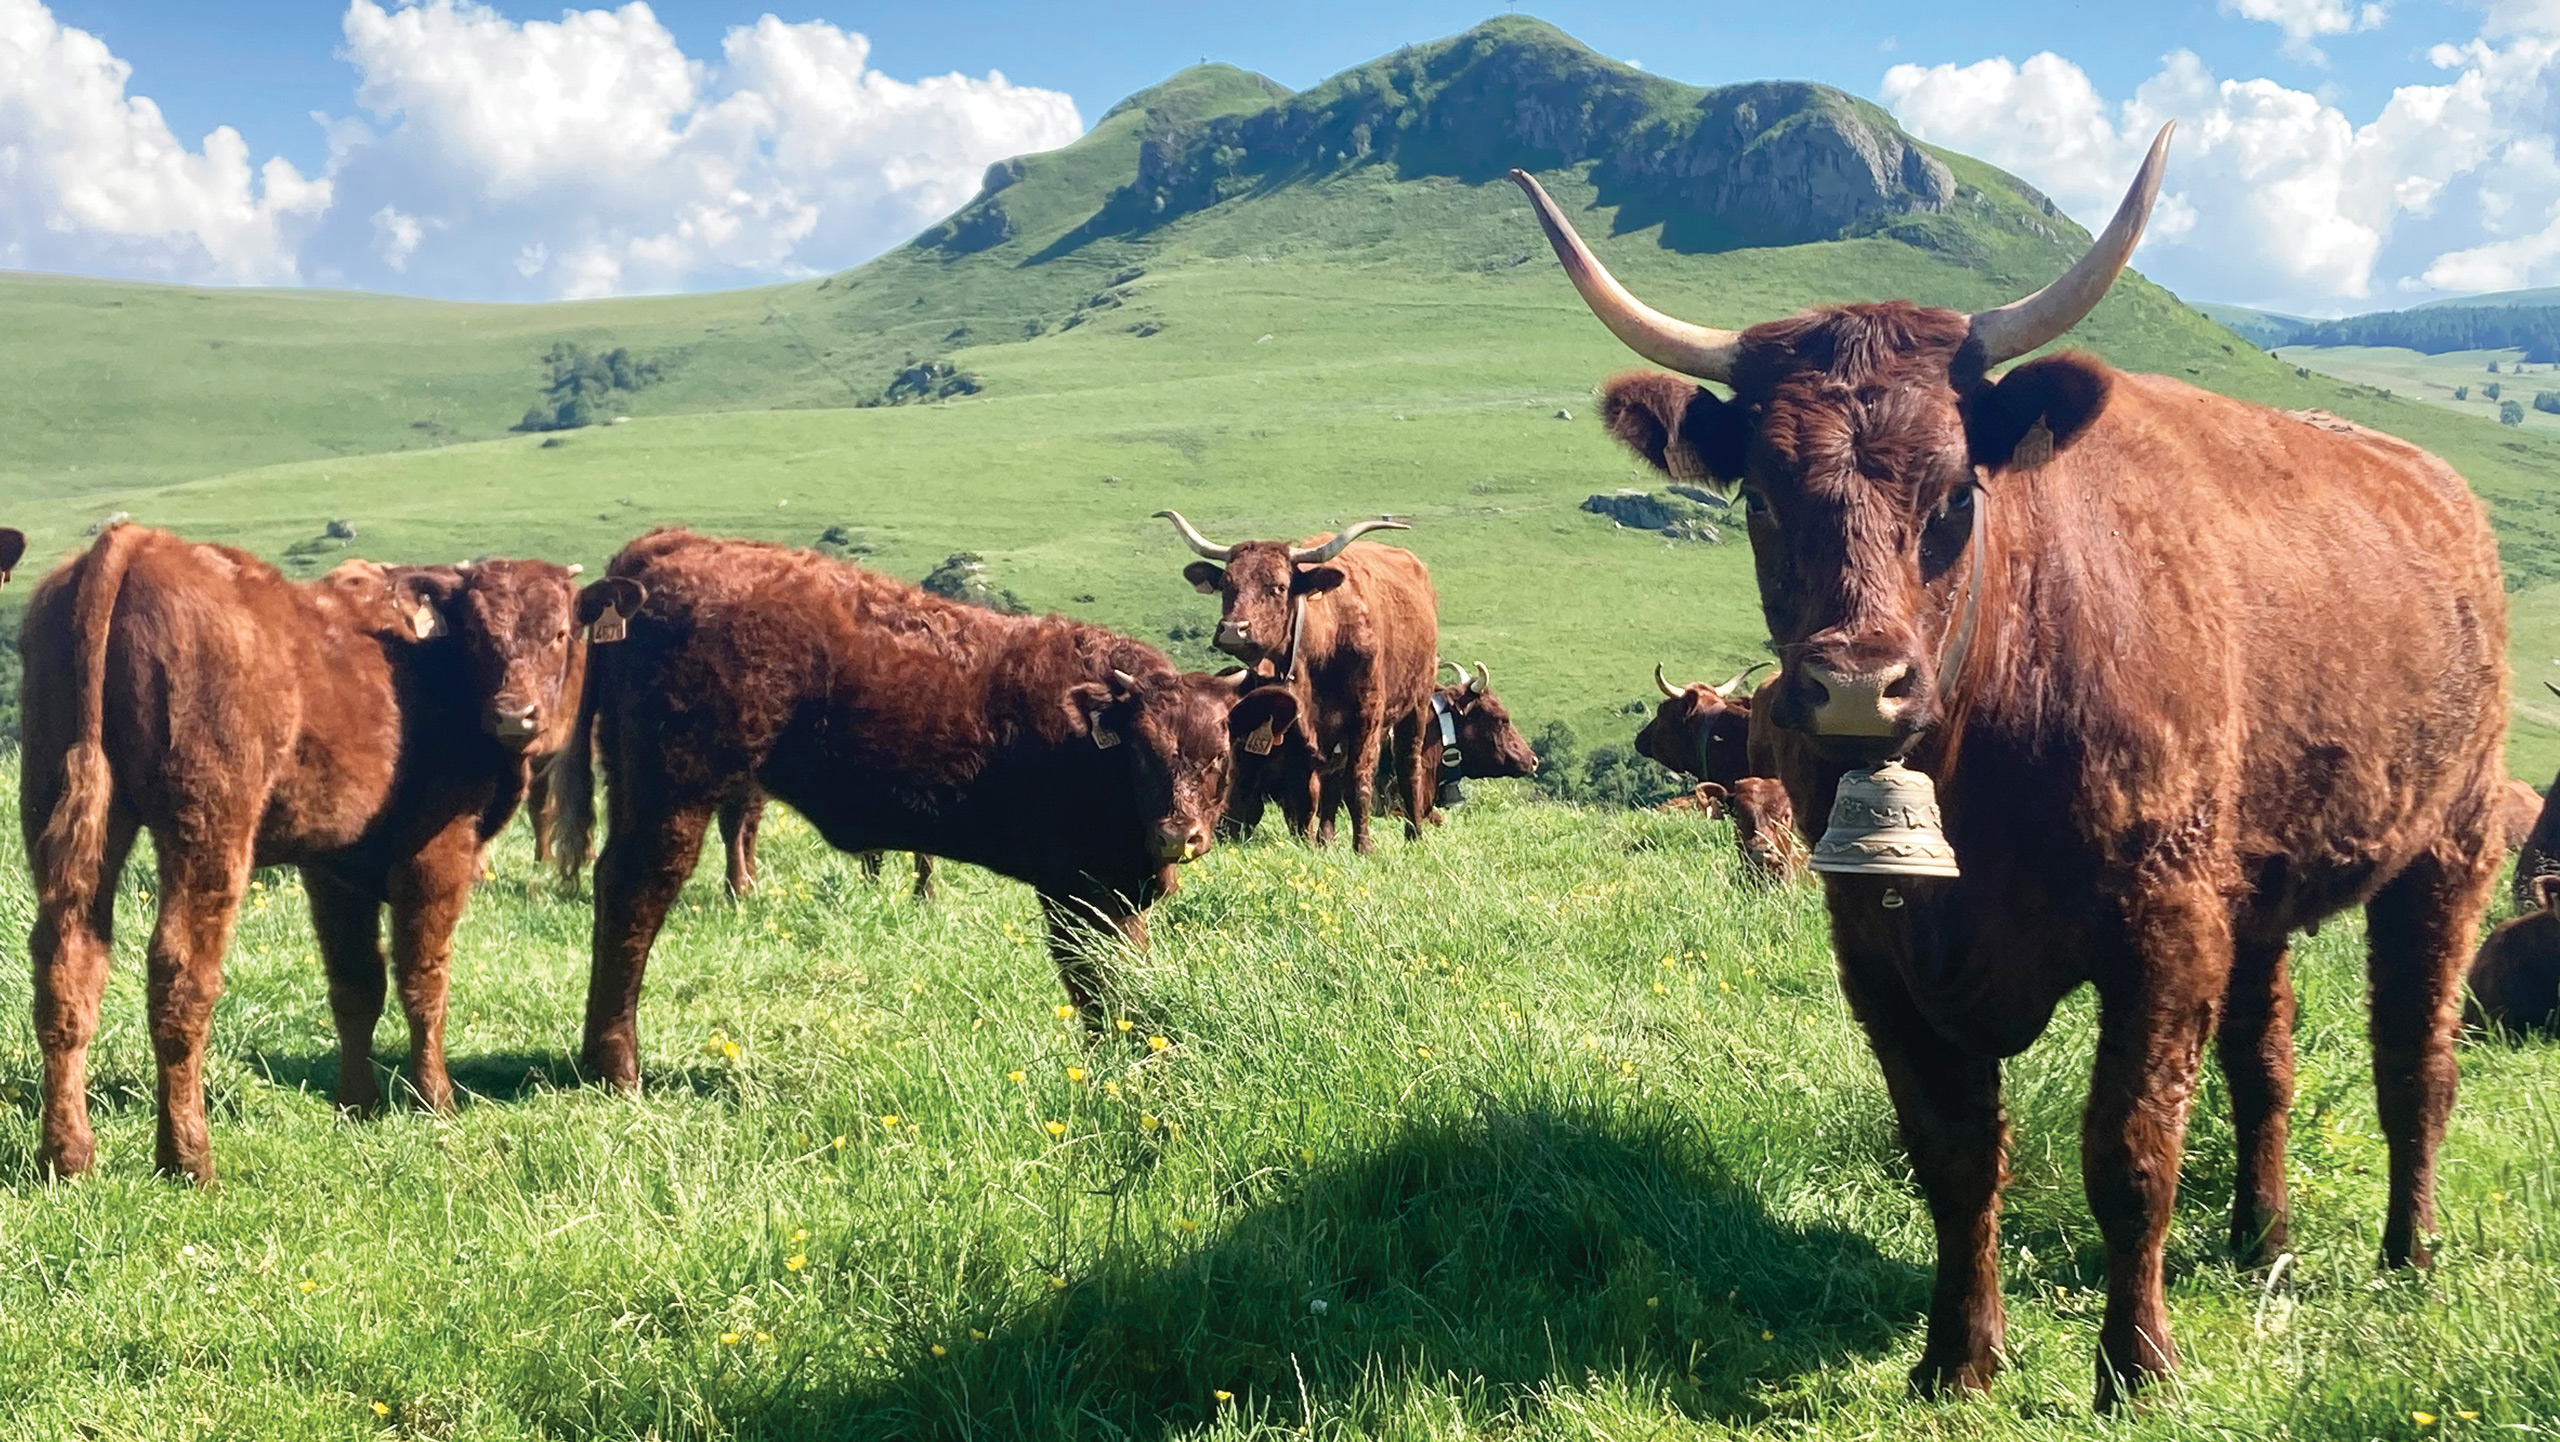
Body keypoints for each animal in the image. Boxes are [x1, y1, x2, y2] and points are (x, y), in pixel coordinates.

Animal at [19, 523, 583, 1182]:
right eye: (478, 633)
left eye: (559, 633)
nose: (515, 714)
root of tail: (137, 539)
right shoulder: (437, 852)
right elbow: (424, 979)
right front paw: (435, 1100)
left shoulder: (334, 867)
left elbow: (356, 983)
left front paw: (358, 1105)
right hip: (208, 825)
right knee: (180, 973)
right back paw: (189, 1158)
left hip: (68, 807)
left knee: (68, 963)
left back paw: (68, 1157)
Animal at [549, 530, 1297, 1092]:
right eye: (1143, 754)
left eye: (1218, 755)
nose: (1178, 835)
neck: (1087, 731)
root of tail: (666, 549)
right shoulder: (1075, 889)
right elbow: (1094, 978)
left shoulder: (1115, 887)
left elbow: (1125, 972)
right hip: (677, 787)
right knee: (638, 890)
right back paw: (618, 1071)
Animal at [1156, 512, 1437, 853]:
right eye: (1226, 584)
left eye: (1279, 586)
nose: (1233, 630)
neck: (1324, 641)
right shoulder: (1296, 728)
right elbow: (1306, 793)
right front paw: (1310, 843)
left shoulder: (1367, 717)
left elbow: (1358, 782)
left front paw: (1364, 847)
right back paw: (1326, 838)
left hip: (1417, 705)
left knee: (1409, 766)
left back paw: (1415, 834)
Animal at [1516, 122, 2508, 1409]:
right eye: (1762, 496)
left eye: (1955, 489)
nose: (1855, 684)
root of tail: (2442, 496)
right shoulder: (1879, 946)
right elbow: (1953, 1153)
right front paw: (1957, 1354)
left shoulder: (2159, 928)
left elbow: (2130, 1151)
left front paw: (2137, 1364)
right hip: (2258, 891)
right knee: (2267, 1060)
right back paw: (2259, 1238)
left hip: (2448, 846)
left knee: (2413, 1058)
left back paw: (2408, 1250)